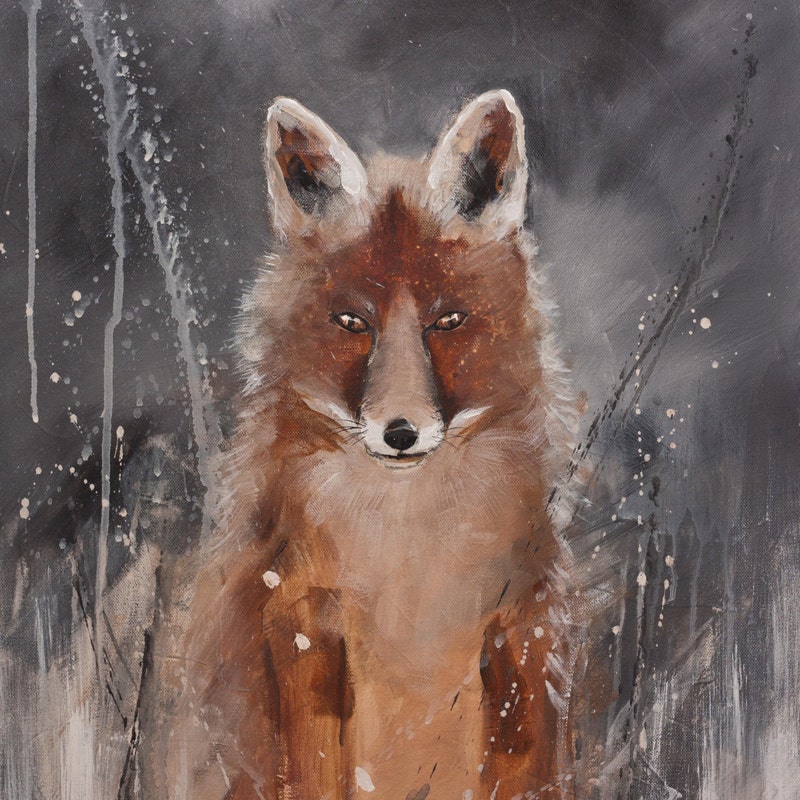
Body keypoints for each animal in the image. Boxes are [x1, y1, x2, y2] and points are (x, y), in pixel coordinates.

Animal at [162, 90, 580, 800]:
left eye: (447, 321)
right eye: (353, 322)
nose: (401, 433)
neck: (408, 569)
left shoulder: (520, 629)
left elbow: (524, 766)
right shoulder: (302, 625)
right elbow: (314, 771)